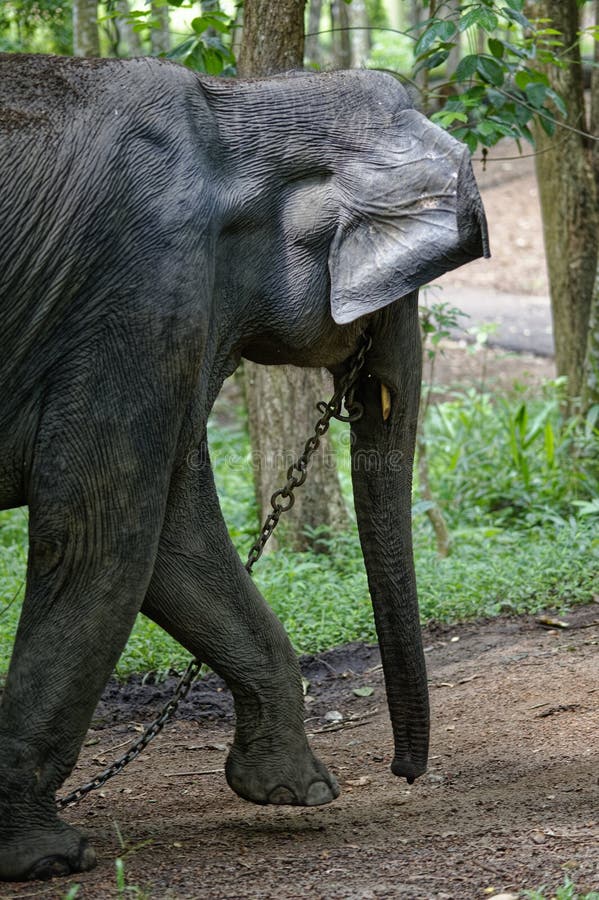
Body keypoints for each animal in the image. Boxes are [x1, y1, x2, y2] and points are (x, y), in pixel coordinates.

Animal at [0, 53, 489, 881]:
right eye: (397, 295)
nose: (405, 773)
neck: (238, 104)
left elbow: (174, 535)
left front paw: (297, 792)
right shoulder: (141, 284)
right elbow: (103, 535)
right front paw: (45, 858)